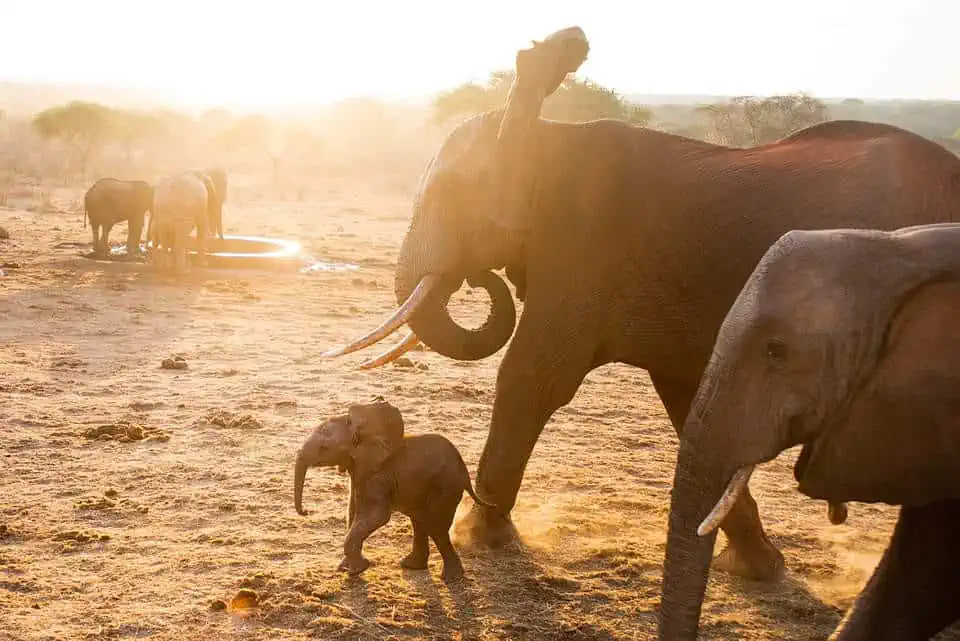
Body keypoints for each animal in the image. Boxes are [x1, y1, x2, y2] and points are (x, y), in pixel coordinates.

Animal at [294, 396, 494, 583]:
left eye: (323, 448)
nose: (307, 511)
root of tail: (465, 472)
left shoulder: (378, 476)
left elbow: (376, 516)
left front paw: (357, 570)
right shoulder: (361, 470)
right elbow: (353, 513)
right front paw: (345, 568)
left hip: (446, 484)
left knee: (435, 525)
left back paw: (451, 578)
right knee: (420, 521)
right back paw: (412, 566)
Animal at [323, 25, 960, 583]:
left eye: (450, 193)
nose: (476, 278)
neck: (545, 133)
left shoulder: (585, 243)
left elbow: (534, 376)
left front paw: (484, 537)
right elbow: (687, 400)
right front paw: (758, 570)